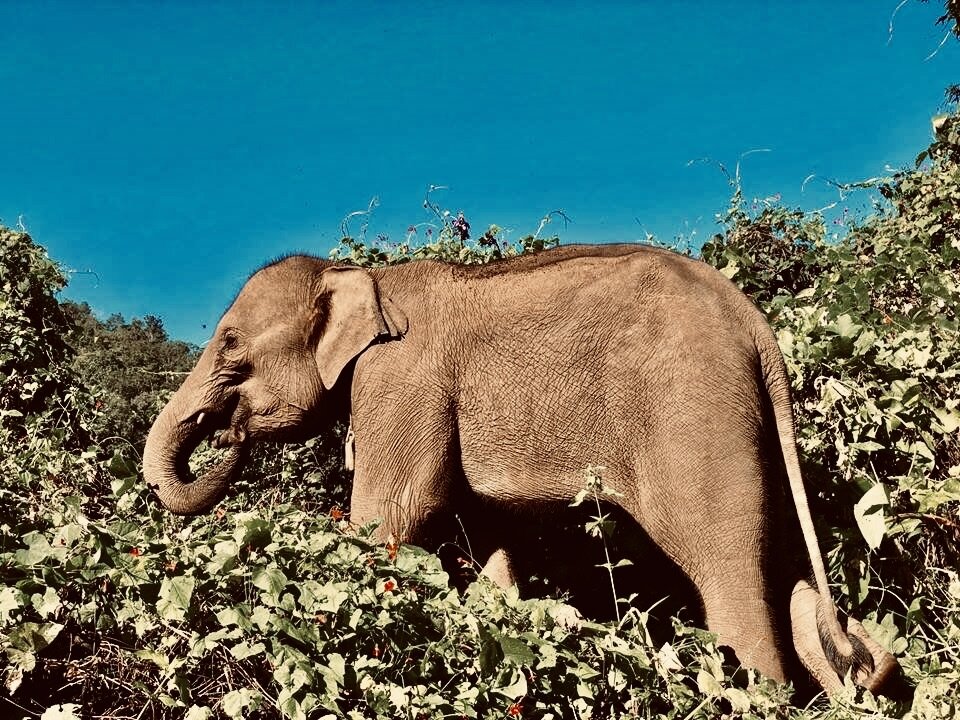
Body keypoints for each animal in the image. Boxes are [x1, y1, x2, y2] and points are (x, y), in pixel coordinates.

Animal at [143, 243, 899, 696]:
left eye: (231, 346)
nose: (228, 438)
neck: (365, 279)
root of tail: (757, 326)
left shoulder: (401, 378)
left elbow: (394, 513)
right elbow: (490, 542)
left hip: (694, 411)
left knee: (727, 566)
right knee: (788, 572)